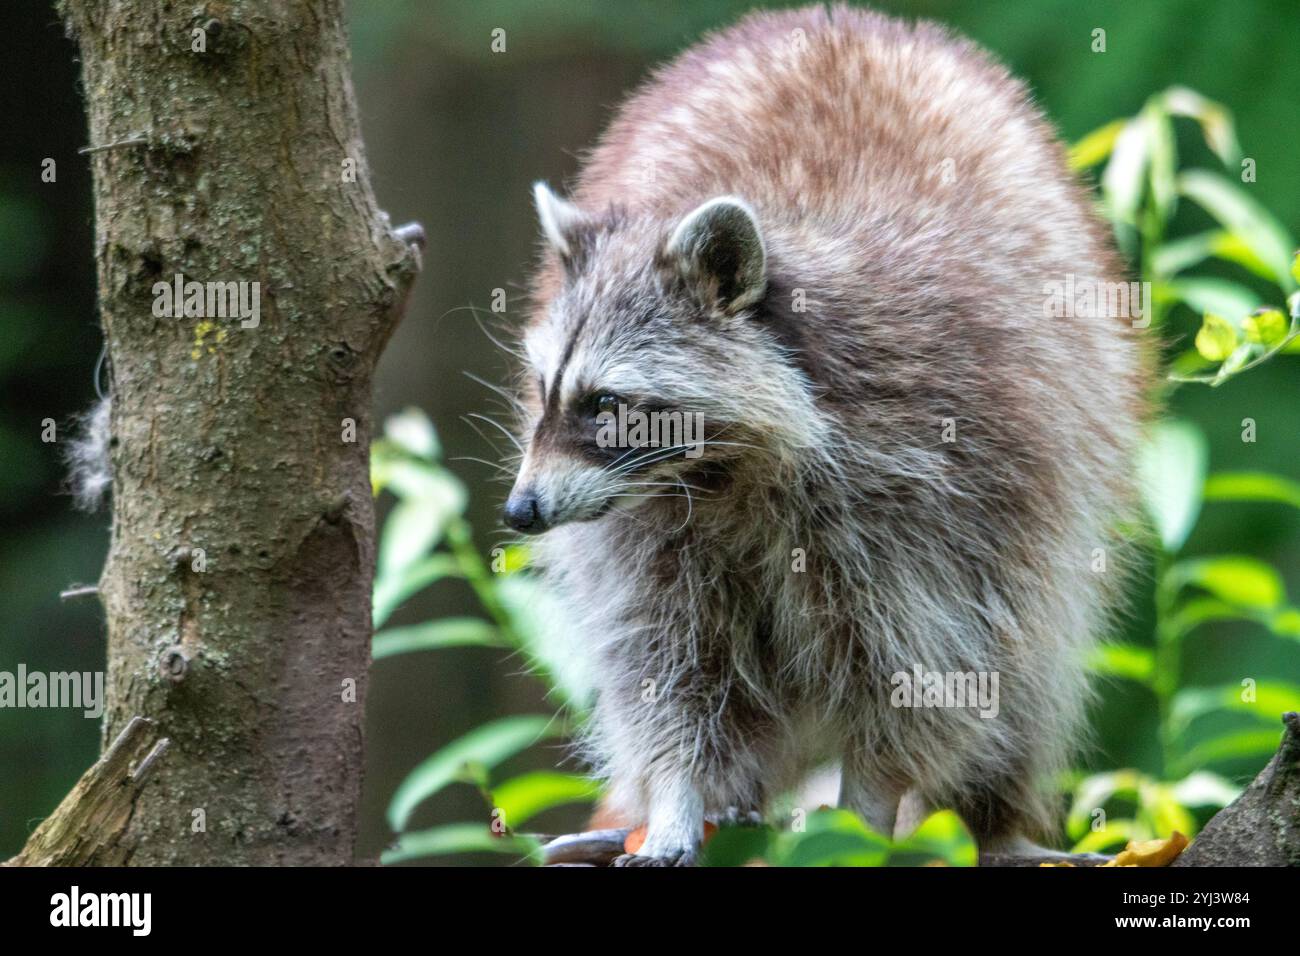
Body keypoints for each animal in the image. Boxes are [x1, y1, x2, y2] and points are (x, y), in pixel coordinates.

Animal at [504, 4, 1148, 865]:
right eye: (545, 390)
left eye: (605, 402)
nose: (521, 512)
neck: (722, 474)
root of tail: (847, 19)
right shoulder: (642, 531)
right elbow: (662, 661)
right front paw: (676, 794)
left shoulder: (942, 474)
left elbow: (927, 665)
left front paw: (866, 809)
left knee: (1027, 672)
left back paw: (997, 821)